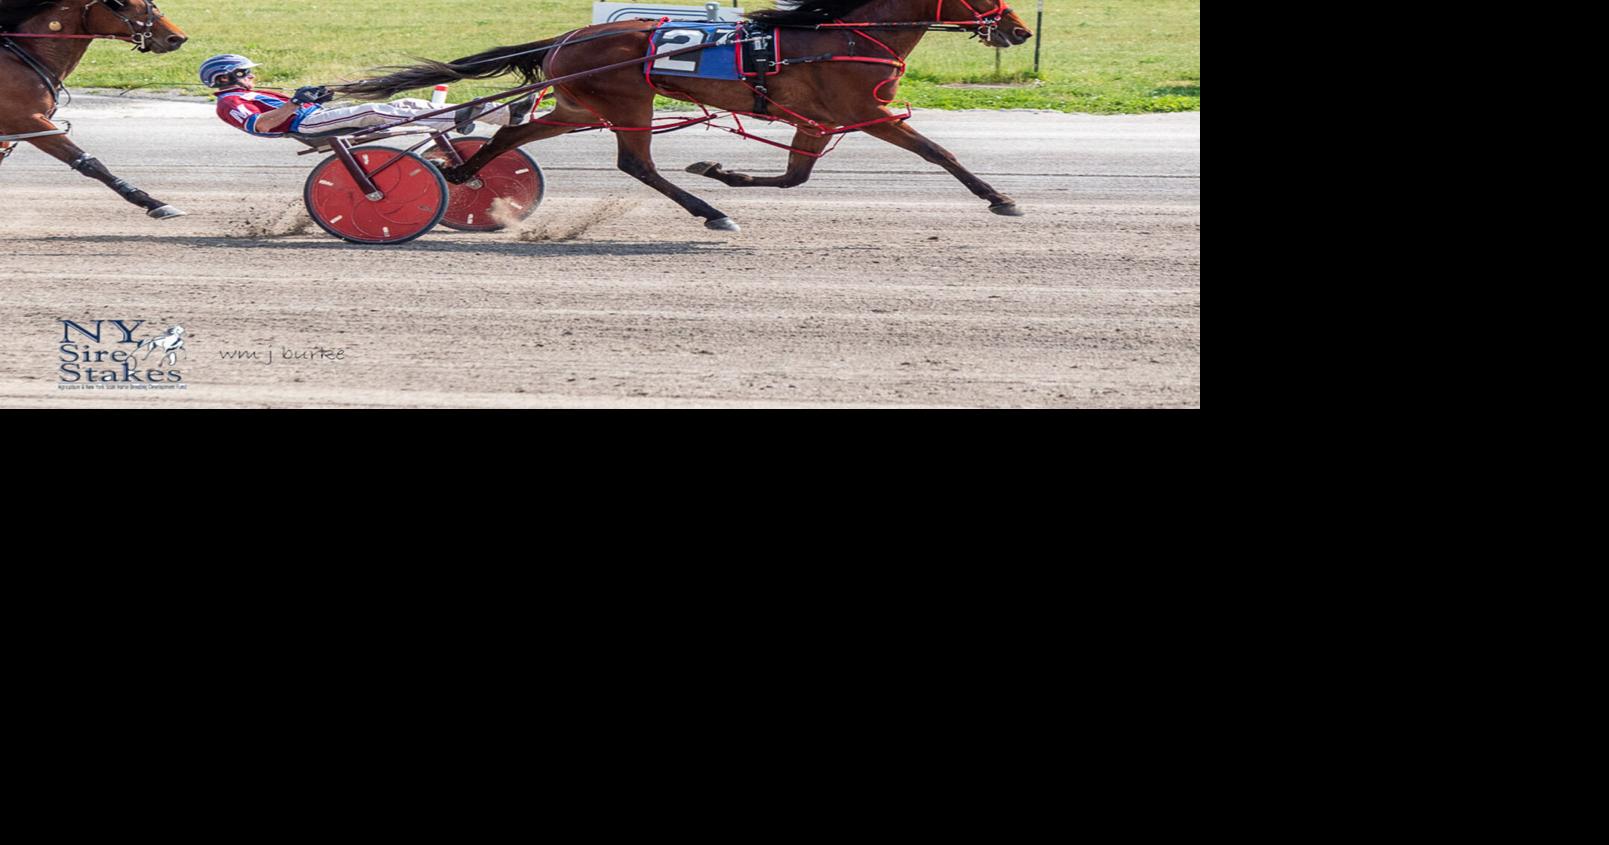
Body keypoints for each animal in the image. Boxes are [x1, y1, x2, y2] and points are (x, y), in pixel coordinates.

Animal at [0, 1, 189, 219]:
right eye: (122, 4)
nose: (176, 37)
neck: (23, 58)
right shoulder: (27, 121)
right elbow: (89, 163)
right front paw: (154, 203)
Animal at [335, 0, 1033, 232]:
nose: (1021, 30)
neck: (839, 35)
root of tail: (567, 36)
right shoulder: (865, 112)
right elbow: (940, 152)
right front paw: (1000, 198)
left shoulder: (818, 118)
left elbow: (796, 176)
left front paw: (719, 168)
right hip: (625, 103)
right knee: (635, 164)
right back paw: (710, 213)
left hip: (577, 105)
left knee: (512, 130)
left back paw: (462, 177)